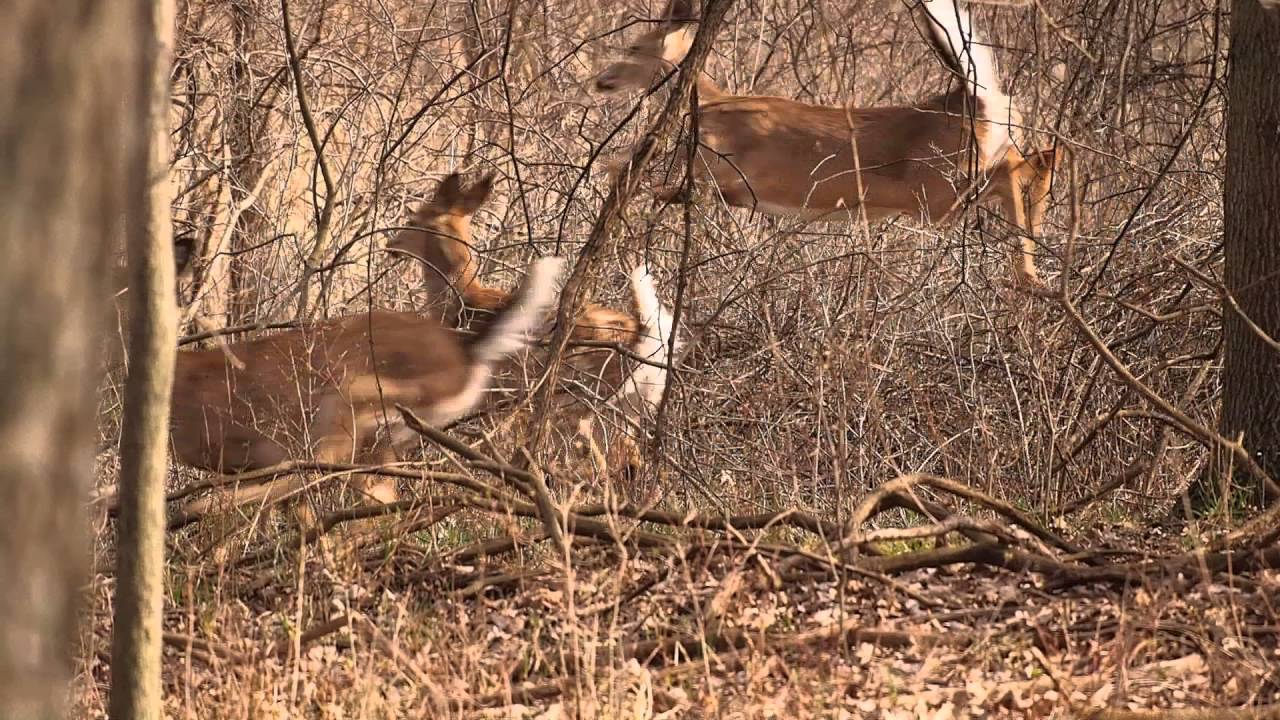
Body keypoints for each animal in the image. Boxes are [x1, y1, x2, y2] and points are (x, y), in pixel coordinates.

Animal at [169, 254, 565, 521]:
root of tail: (465, 351)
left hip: (350, 398)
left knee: (318, 469)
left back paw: (199, 507)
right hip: (384, 439)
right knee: (375, 496)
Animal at [385, 172, 681, 481]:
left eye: (412, 220)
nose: (390, 244)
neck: (460, 302)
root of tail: (645, 337)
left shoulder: (490, 392)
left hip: (582, 398)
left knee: (597, 457)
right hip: (631, 408)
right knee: (632, 462)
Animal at [592, 0, 1062, 291]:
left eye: (634, 45)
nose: (601, 79)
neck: (708, 104)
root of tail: (972, 97)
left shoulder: (711, 165)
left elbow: (625, 170)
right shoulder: (730, 192)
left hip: (939, 190)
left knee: (1012, 170)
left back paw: (1030, 271)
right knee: (1029, 160)